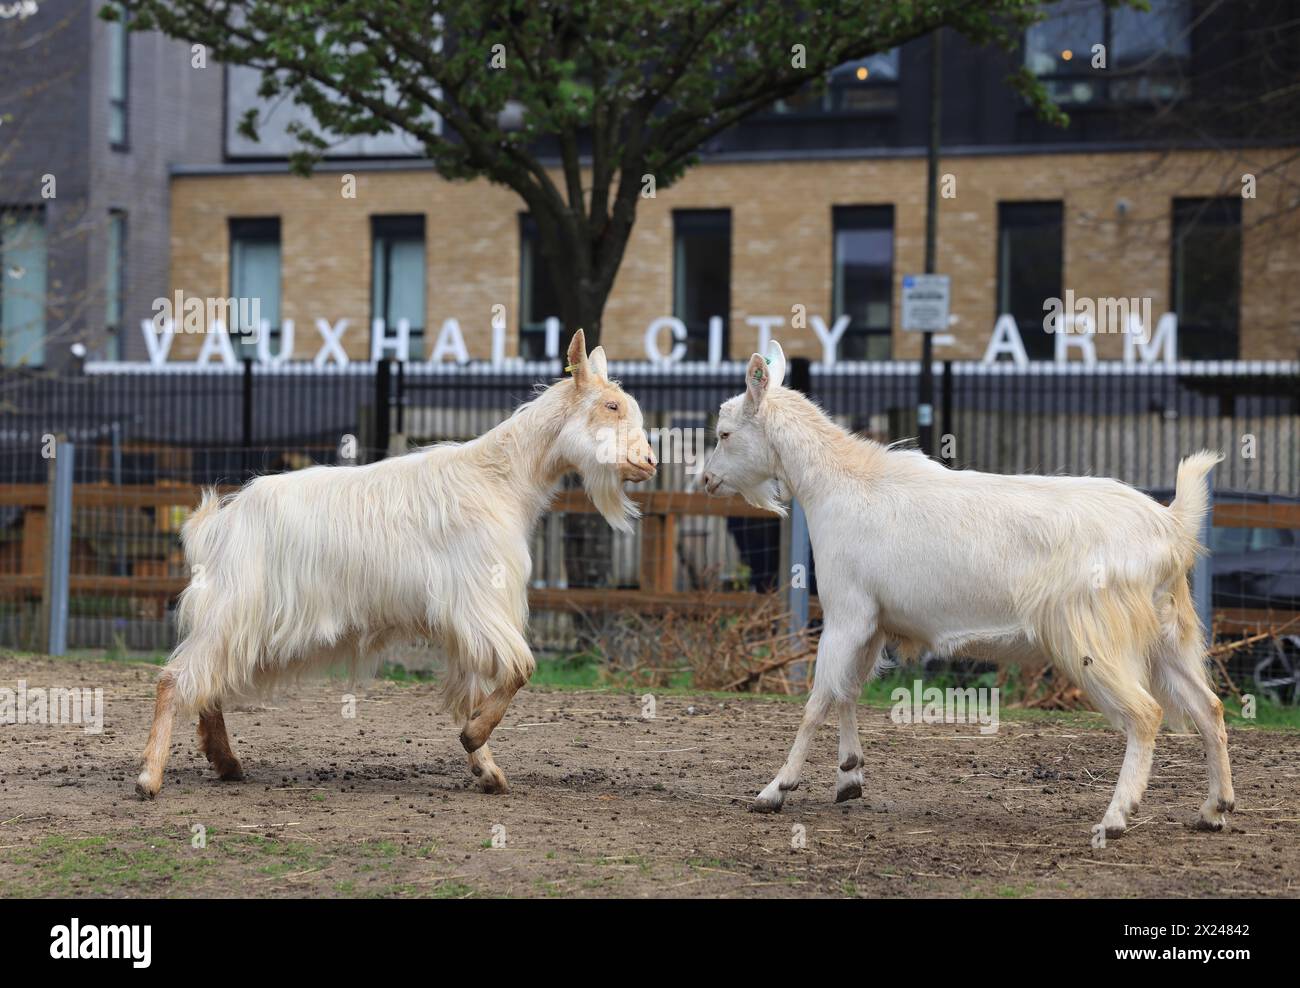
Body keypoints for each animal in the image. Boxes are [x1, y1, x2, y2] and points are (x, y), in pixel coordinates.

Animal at [135, 330, 656, 799]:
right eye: (611, 406)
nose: (649, 460)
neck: (500, 480)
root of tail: (219, 522)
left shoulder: (466, 621)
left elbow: (472, 691)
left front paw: (486, 768)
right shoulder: (479, 605)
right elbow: (521, 667)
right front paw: (474, 735)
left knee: (208, 684)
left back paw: (226, 763)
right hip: (235, 608)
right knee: (175, 680)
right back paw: (150, 778)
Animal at [702, 342, 1233, 837]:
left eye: (725, 434)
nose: (706, 479)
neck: (841, 485)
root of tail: (1171, 525)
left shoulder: (846, 613)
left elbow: (817, 701)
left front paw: (775, 789)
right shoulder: (873, 620)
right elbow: (848, 691)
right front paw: (849, 775)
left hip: (1094, 634)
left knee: (1146, 713)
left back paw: (1117, 817)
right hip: (1169, 636)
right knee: (1209, 707)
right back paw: (1215, 809)